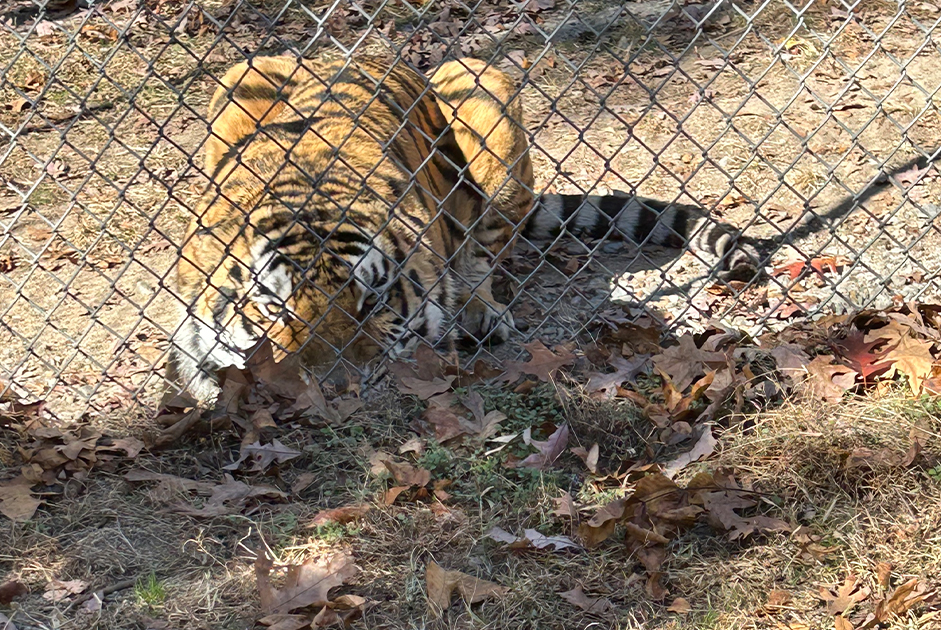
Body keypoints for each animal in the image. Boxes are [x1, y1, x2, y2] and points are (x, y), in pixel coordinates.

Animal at [168, 54, 758, 401]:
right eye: (274, 307)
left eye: (370, 303)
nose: (333, 390)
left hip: (484, 99)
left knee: (480, 256)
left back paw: (480, 315)